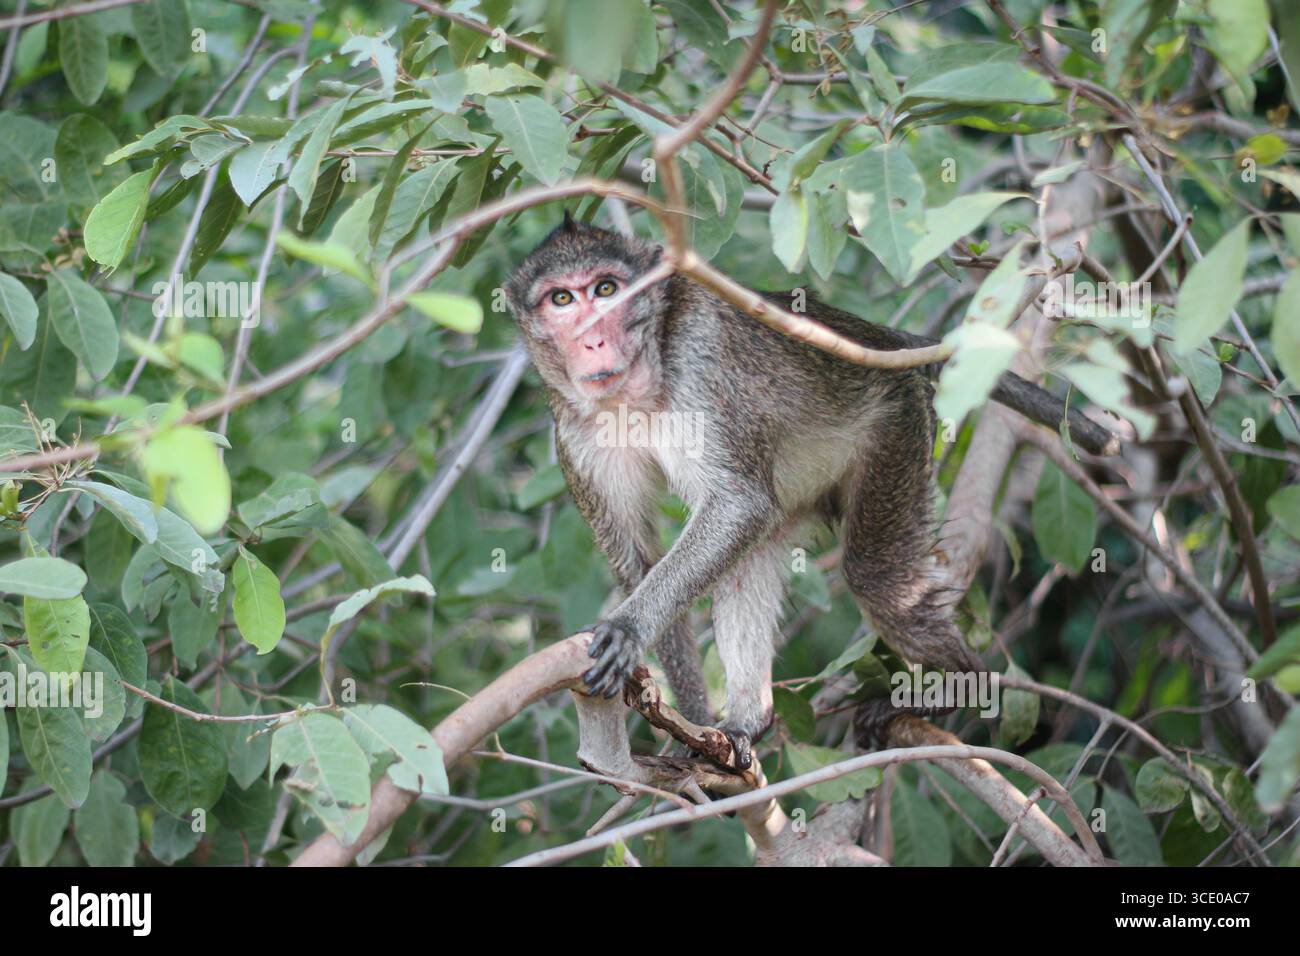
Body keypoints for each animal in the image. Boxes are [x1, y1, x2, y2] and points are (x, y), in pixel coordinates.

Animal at [504, 214, 1116, 769]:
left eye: (606, 289)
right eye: (562, 299)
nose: (593, 338)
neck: (638, 388)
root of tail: (877, 339)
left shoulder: (702, 360)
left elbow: (736, 505)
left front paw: (629, 628)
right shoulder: (574, 436)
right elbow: (640, 558)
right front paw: (690, 721)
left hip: (896, 425)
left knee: (873, 575)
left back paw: (959, 685)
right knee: (754, 551)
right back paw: (747, 722)